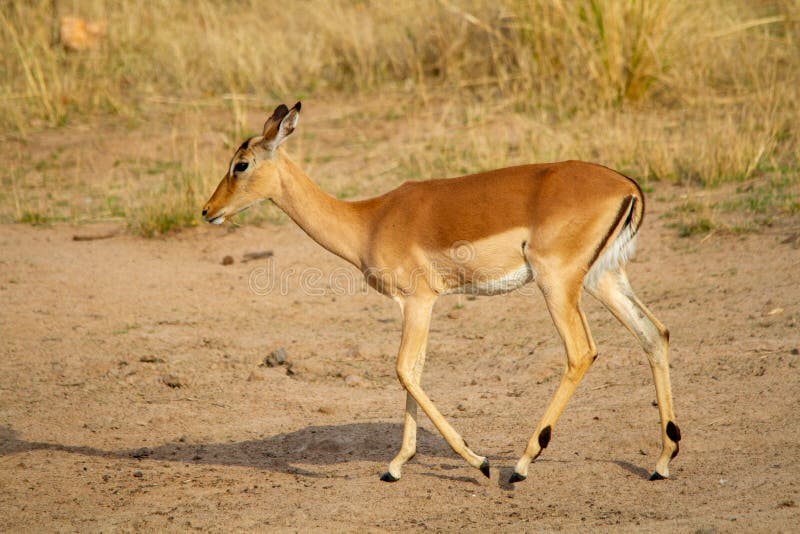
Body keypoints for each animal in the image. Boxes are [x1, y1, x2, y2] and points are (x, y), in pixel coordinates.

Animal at [202, 102, 681, 484]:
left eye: (241, 164)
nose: (207, 211)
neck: (369, 220)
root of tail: (626, 185)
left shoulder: (417, 301)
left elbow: (403, 370)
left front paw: (478, 461)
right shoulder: (423, 306)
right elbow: (415, 370)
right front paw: (396, 466)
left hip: (557, 284)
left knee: (581, 352)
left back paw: (519, 465)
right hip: (604, 278)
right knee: (654, 333)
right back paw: (662, 460)